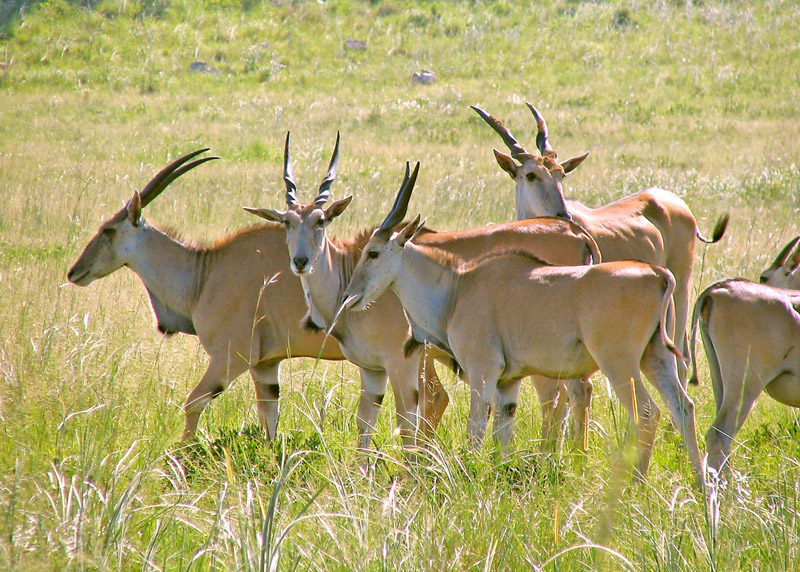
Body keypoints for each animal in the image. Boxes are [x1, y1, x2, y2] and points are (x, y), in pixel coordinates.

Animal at [68, 150, 369, 441]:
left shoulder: (229, 357)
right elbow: (269, 423)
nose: (74, 271)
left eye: (108, 230)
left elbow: (193, 404)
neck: (206, 272)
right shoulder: (265, 365)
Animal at [244, 133, 603, 451]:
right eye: (287, 222)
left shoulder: (404, 362)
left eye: (320, 221)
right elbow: (366, 424)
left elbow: (410, 420)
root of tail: (575, 231)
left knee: (560, 397)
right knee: (575, 392)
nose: (300, 261)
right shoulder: (372, 370)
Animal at [342, 162, 706, 486]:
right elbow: (502, 435)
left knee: (646, 413)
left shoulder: (483, 372)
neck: (457, 286)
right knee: (683, 407)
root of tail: (659, 275)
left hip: (619, 364)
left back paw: (637, 484)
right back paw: (700, 483)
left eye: (372, 253)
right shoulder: (509, 383)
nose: (349, 296)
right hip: (655, 357)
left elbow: (476, 429)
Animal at [472, 103, 729, 383]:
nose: (564, 216)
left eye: (561, 174)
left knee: (681, 356)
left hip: (681, 285)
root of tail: (678, 203)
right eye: (531, 175)